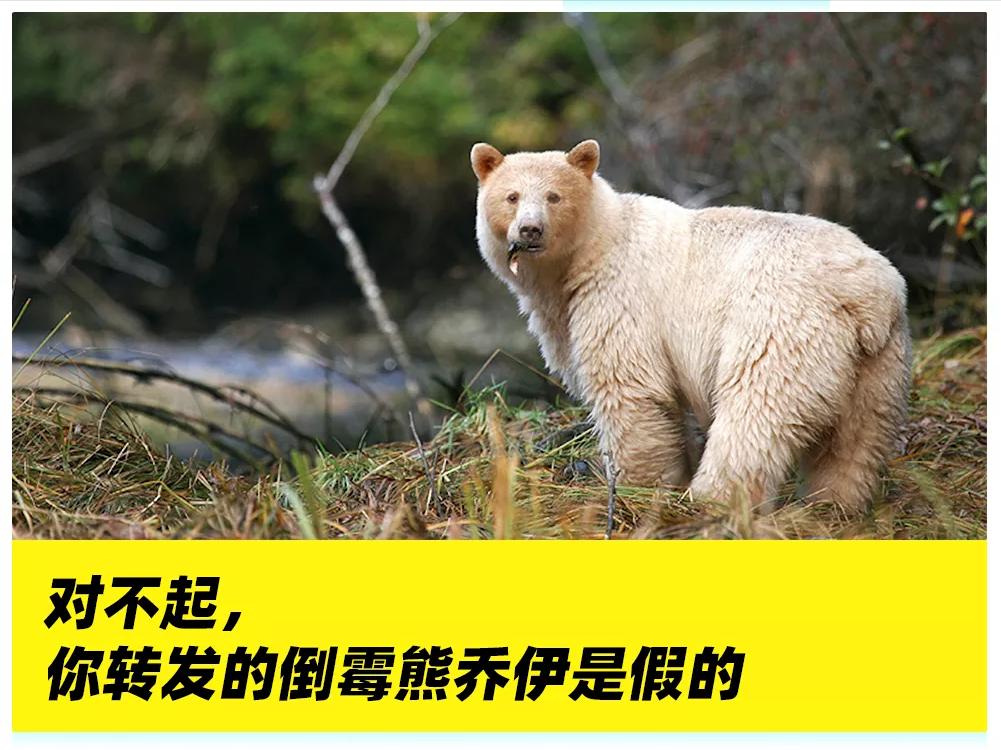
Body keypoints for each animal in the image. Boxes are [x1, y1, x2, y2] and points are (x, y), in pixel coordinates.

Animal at [470, 138, 911, 513]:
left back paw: (712, 498)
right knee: (855, 439)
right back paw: (833, 503)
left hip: (780, 325)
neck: (591, 250)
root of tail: (867, 294)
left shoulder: (621, 297)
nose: (530, 229)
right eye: (512, 196)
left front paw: (635, 488)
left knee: (756, 414)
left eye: (554, 196)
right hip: (878, 360)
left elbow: (630, 389)